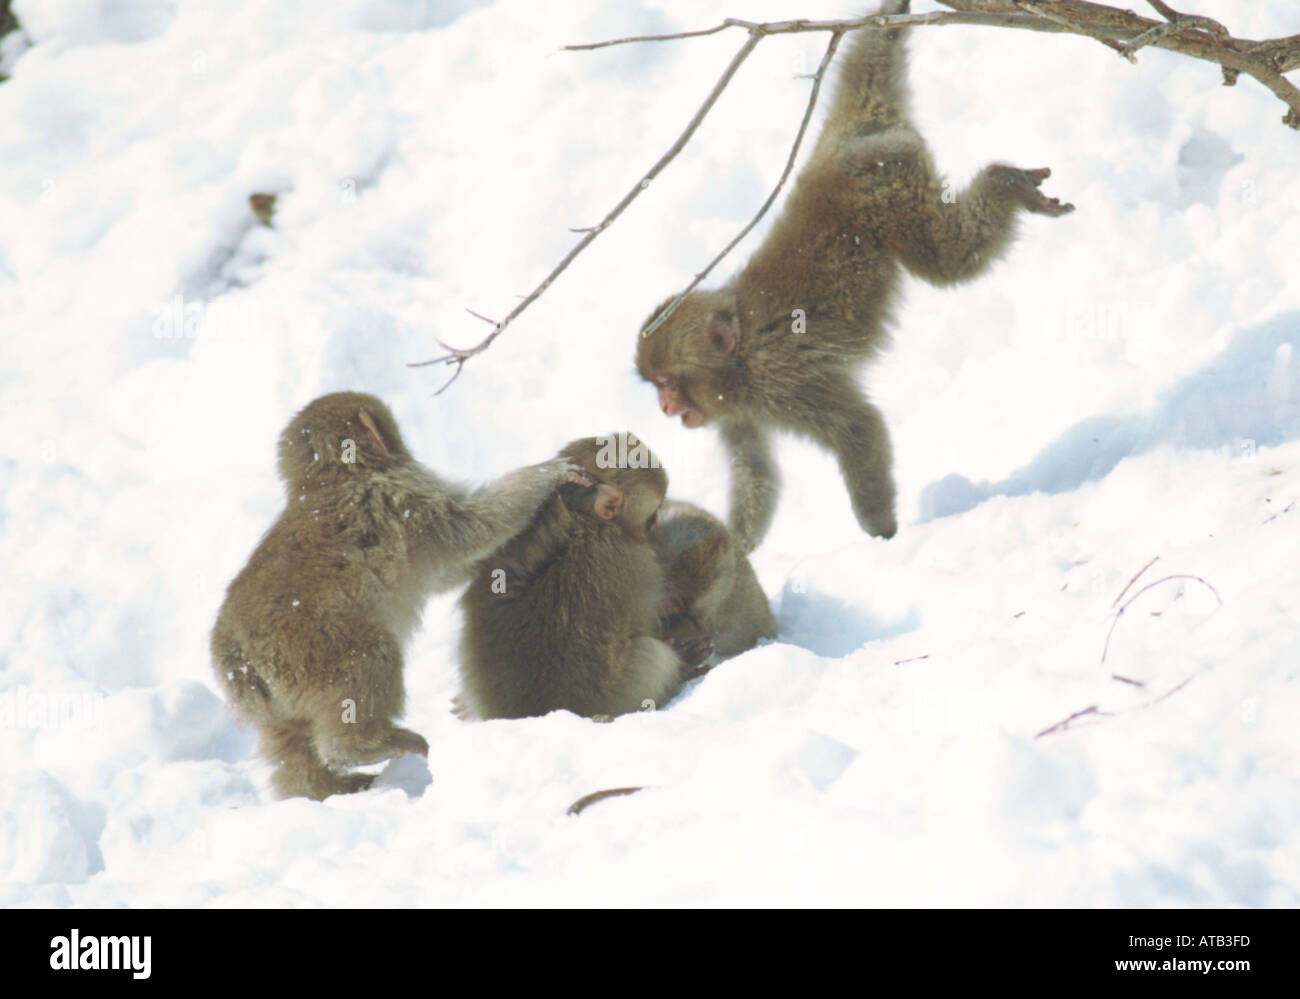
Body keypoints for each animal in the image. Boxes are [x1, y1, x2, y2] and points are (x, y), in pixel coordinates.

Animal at [211, 391, 588, 800]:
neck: (334, 477)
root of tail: (237, 659)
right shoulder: (403, 498)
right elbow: (469, 531)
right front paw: (546, 474)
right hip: (313, 649)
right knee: (371, 656)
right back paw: (362, 747)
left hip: (279, 695)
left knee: (288, 741)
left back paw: (324, 787)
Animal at [636, 0, 1074, 552]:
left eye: (667, 382)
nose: (664, 408)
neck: (740, 357)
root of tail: (837, 148)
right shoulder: (736, 411)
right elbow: (755, 470)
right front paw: (734, 547)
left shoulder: (781, 380)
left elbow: (857, 427)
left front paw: (882, 533)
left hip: (887, 186)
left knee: (949, 259)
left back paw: (1005, 181)